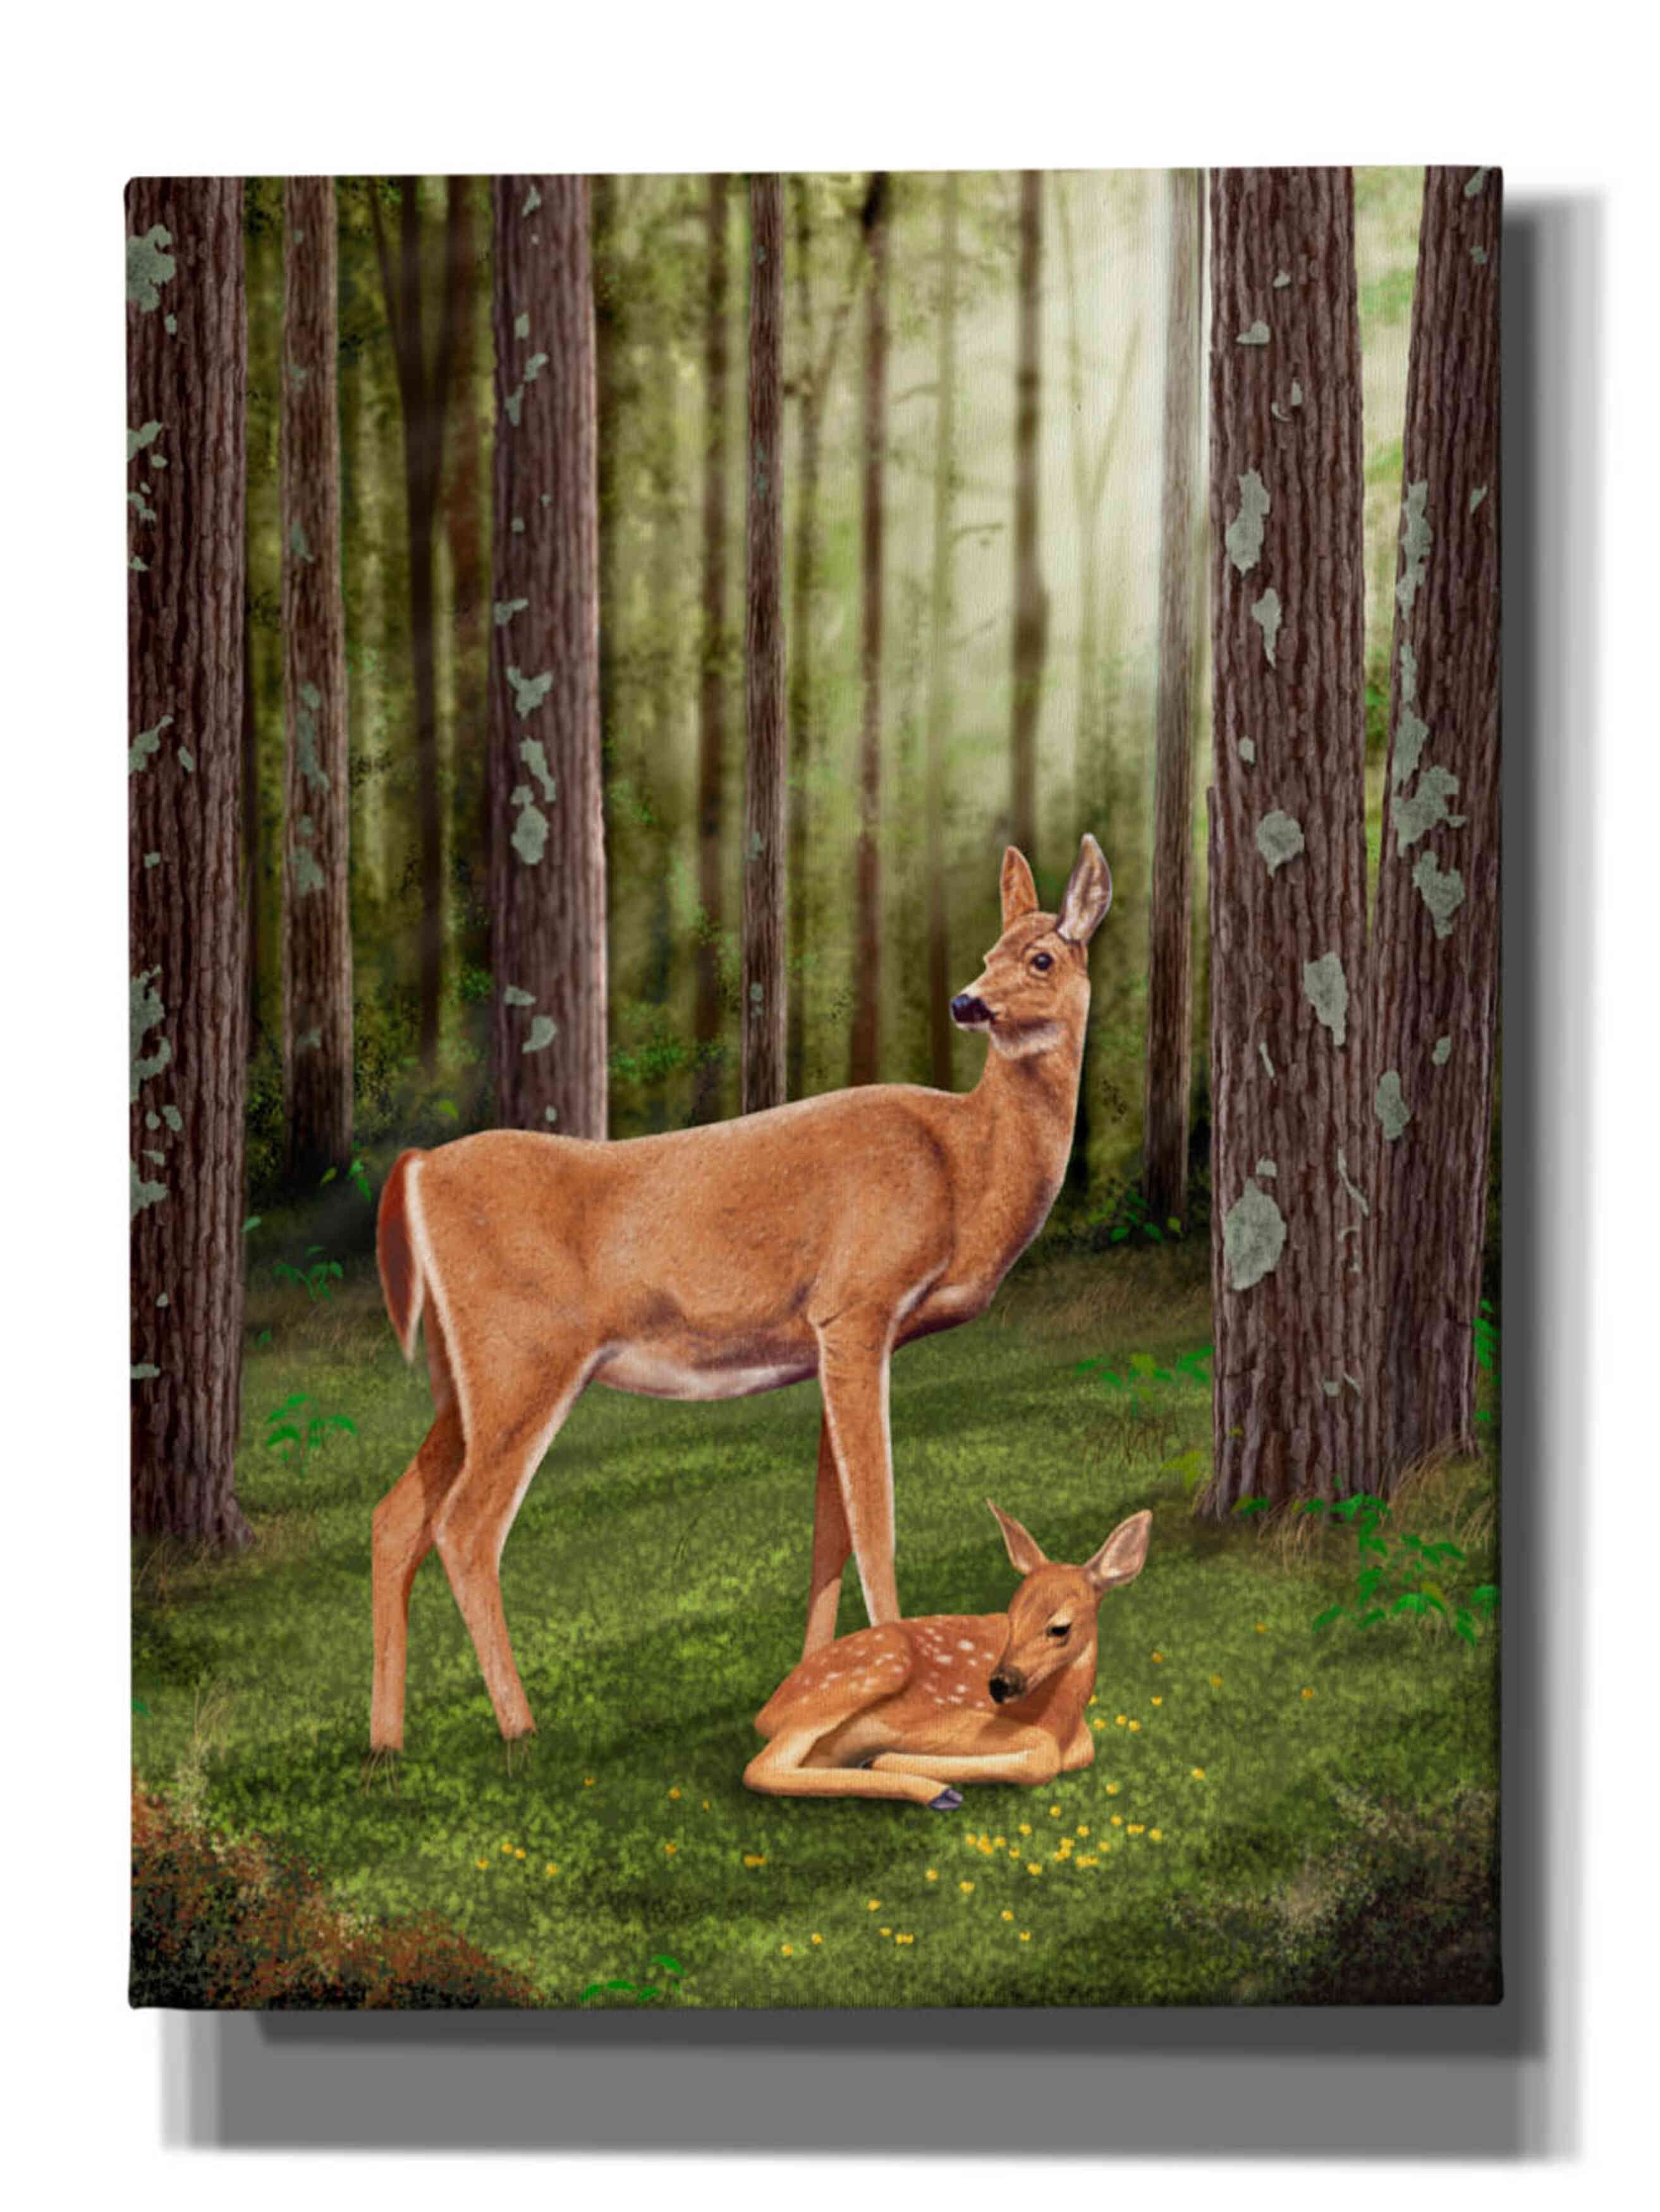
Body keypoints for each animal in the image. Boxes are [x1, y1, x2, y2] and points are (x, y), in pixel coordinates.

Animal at [370, 833, 1113, 1754]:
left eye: (1038, 956)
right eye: (987, 953)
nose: (965, 1001)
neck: (965, 1167)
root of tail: (418, 1168)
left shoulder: (835, 1335)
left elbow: (829, 1526)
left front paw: (820, 1677)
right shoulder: (858, 1304)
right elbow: (874, 1519)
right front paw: (901, 1677)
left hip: (462, 1371)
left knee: (394, 1517)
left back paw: (385, 1741)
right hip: (523, 1354)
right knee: (464, 1526)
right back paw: (521, 1729)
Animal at [744, 1504, 1152, 1808]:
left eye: (1060, 1627)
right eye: (1011, 1616)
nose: (1000, 1684)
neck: (1059, 1718)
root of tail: (766, 1712)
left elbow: (1075, 1749)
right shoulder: (934, 1718)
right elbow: (1042, 1751)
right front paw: (887, 1759)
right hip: (876, 1668)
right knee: (759, 1769)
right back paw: (936, 1791)